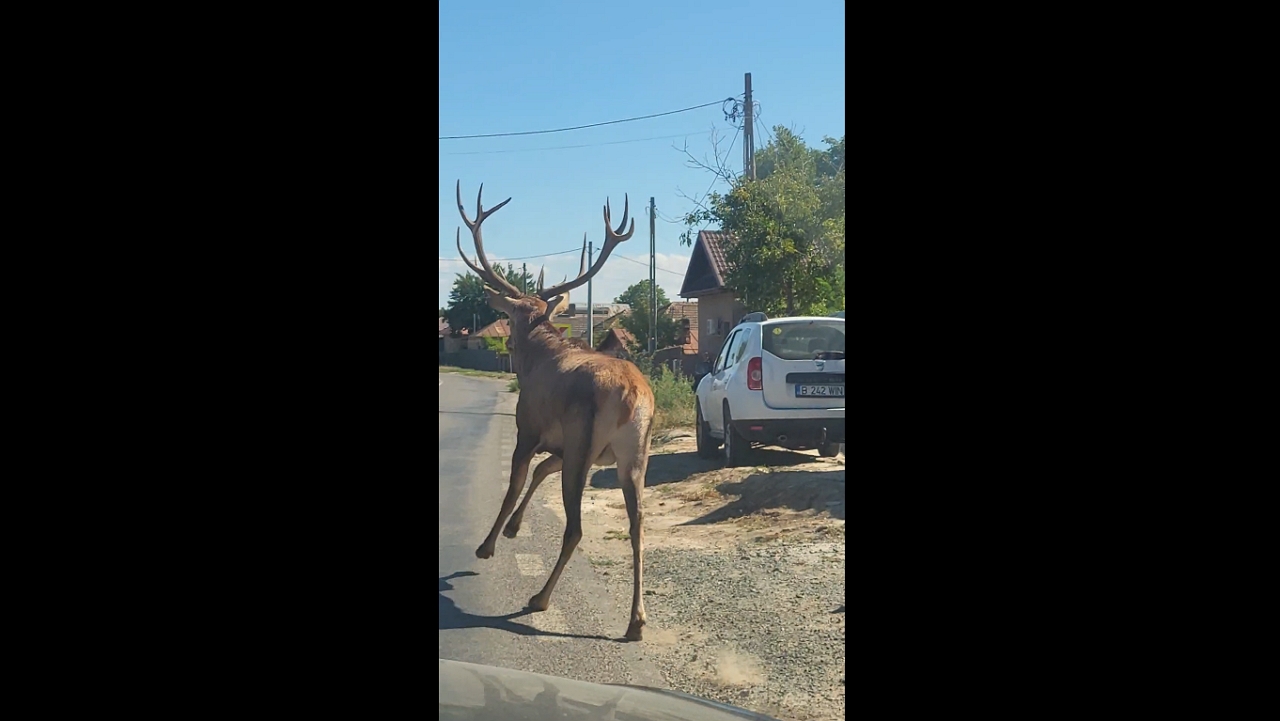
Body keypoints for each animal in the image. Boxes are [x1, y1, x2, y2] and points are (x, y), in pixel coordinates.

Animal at [454, 181, 655, 642]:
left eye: (510, 316)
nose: (508, 344)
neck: (538, 357)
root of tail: (632, 395)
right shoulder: (563, 445)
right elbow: (541, 471)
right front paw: (513, 528)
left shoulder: (528, 427)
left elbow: (515, 481)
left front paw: (488, 544)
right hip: (634, 454)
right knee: (637, 525)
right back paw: (636, 620)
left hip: (584, 440)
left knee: (575, 527)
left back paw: (540, 599)